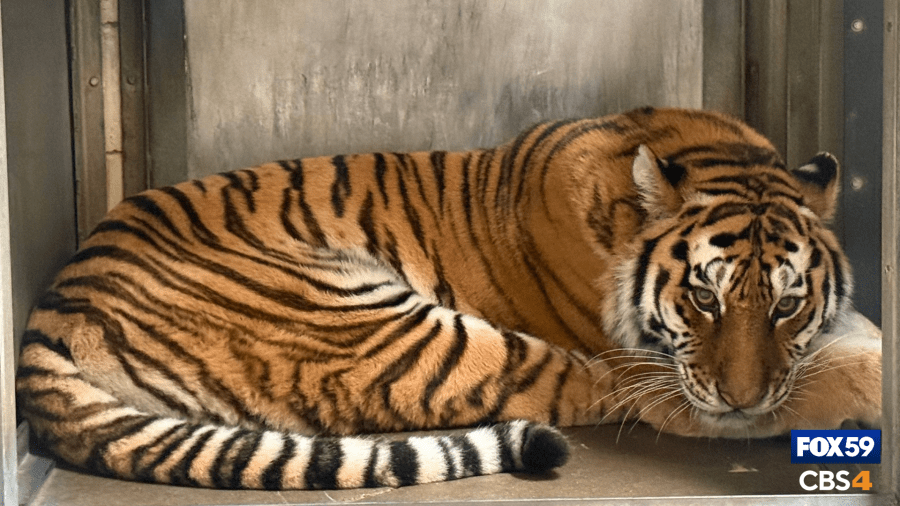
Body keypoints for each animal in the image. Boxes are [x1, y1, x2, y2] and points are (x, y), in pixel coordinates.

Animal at [16, 107, 882, 491]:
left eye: (786, 304)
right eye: (703, 297)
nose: (740, 397)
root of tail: (55, 305)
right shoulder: (671, 375)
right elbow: (808, 381)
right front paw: (863, 384)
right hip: (384, 325)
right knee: (599, 389)